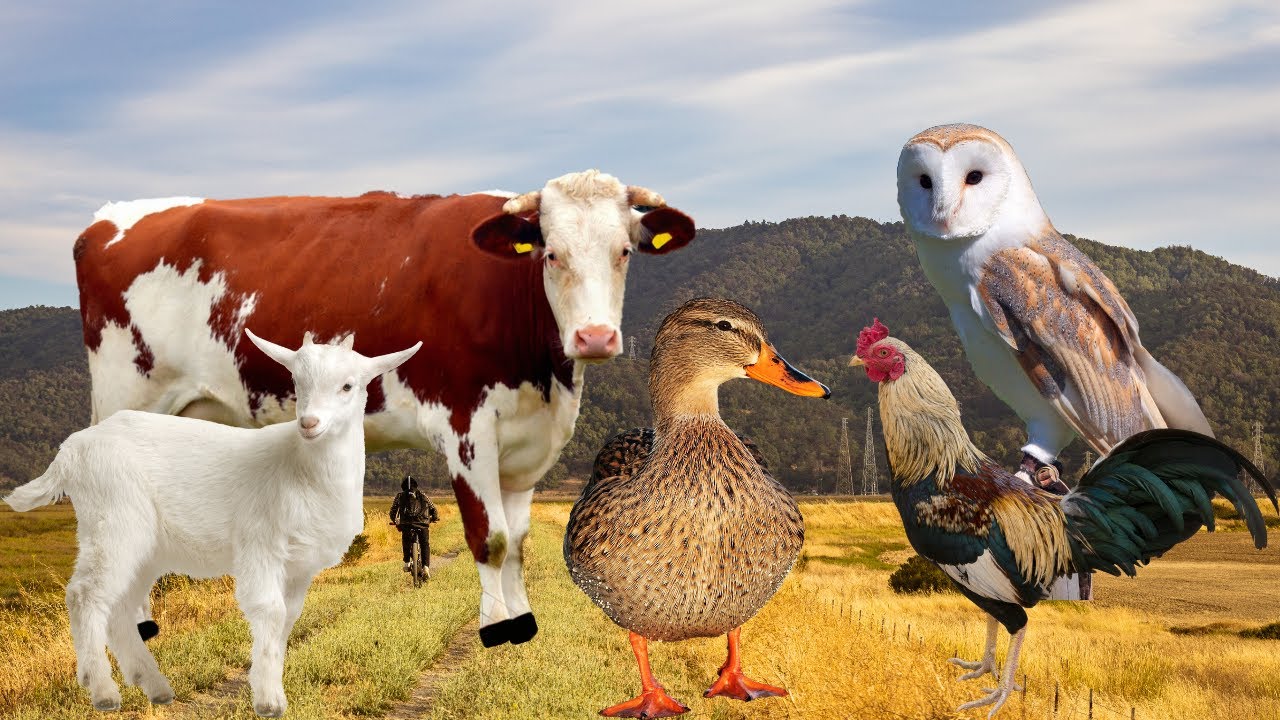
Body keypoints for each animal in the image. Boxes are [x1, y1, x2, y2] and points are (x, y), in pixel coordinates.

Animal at [4, 329, 420, 717]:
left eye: (348, 385)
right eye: (296, 382)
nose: (308, 423)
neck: (300, 466)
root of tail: (70, 451)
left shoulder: (299, 567)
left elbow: (287, 619)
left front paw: (271, 686)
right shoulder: (260, 545)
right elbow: (269, 611)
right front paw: (268, 701)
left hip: (142, 545)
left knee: (120, 606)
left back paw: (154, 686)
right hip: (113, 522)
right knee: (85, 594)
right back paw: (103, 690)